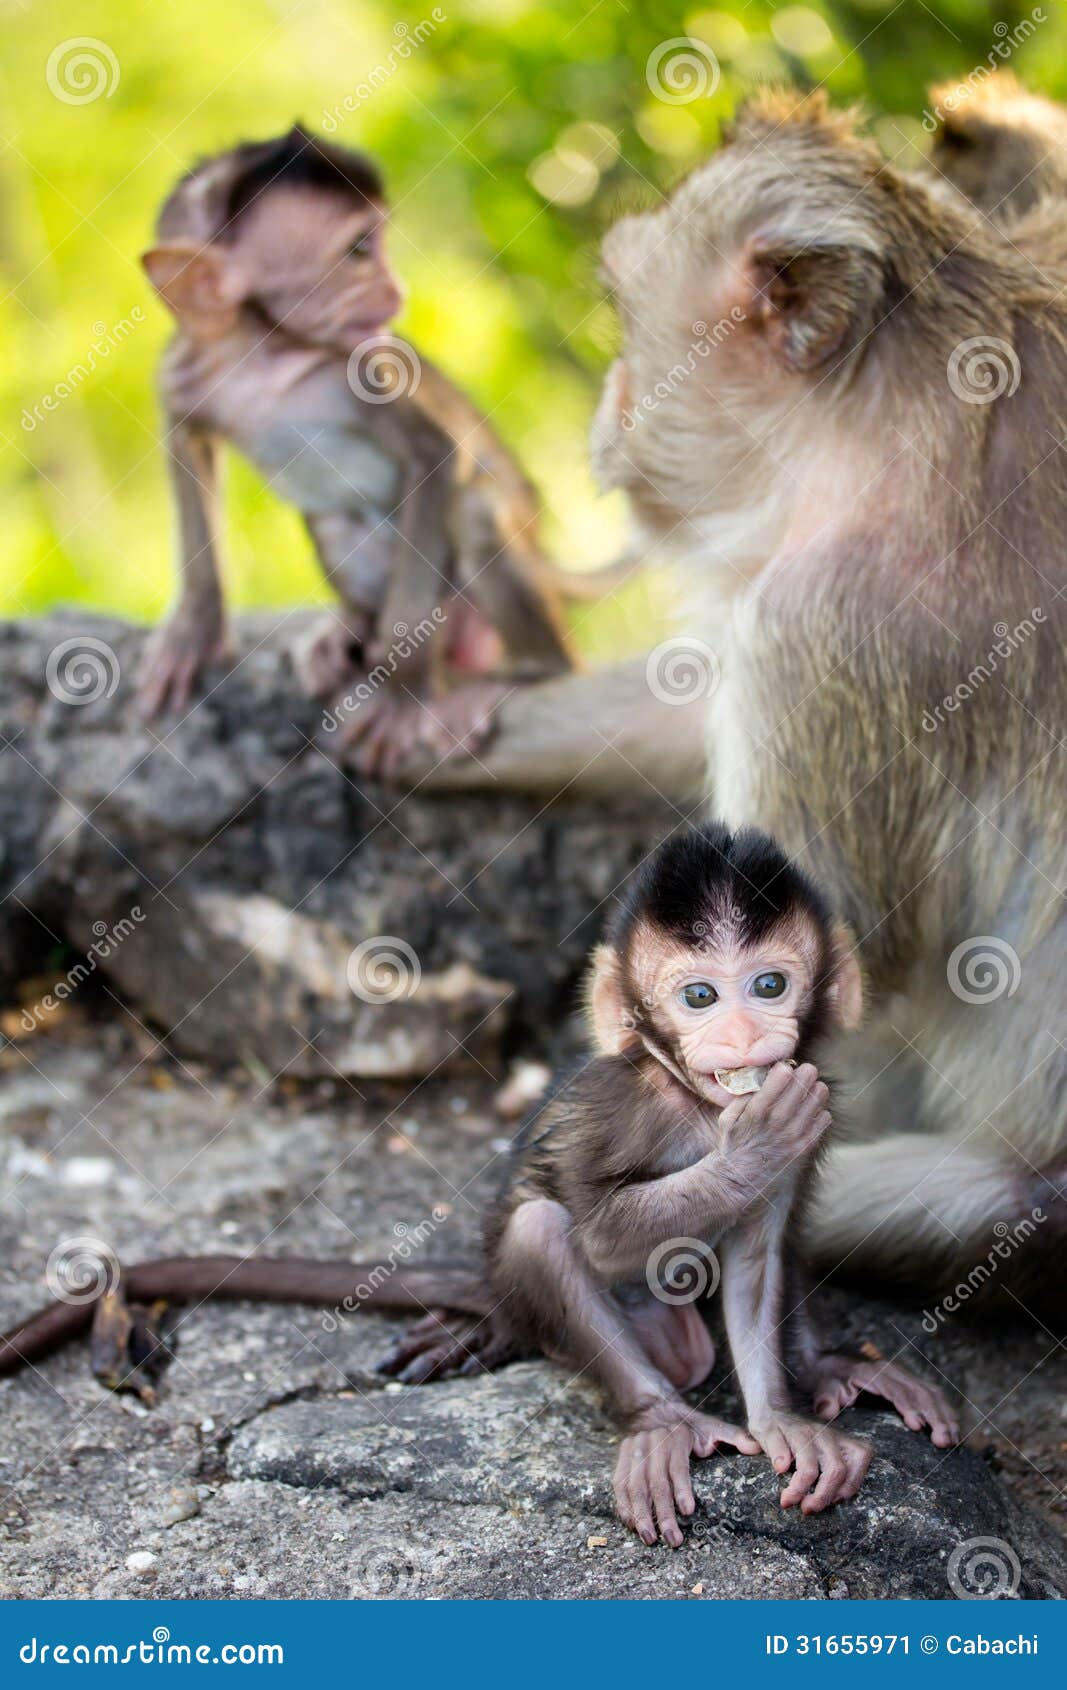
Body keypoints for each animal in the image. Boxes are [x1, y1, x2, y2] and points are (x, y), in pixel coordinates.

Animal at [0, 824, 958, 1548]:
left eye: (768, 984)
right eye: (697, 997)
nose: (741, 1037)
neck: (690, 1101)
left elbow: (760, 1251)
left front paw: (785, 1420)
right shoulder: (615, 1105)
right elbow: (600, 1227)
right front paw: (747, 1150)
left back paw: (822, 1369)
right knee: (540, 1230)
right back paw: (659, 1421)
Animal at [138, 125, 634, 776]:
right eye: (357, 251)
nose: (397, 290)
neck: (261, 355)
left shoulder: (364, 370)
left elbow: (438, 457)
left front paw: (403, 696)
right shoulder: (180, 372)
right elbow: (185, 444)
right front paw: (195, 629)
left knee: (473, 511)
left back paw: (527, 673)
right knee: (333, 524)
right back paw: (351, 631)